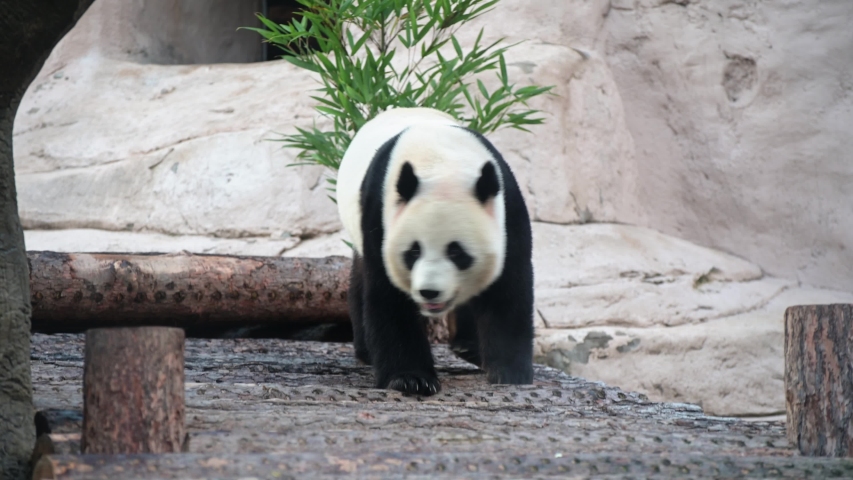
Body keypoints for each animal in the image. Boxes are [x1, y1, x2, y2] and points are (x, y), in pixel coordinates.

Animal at [336, 107, 534, 396]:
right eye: (413, 252)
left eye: (457, 253)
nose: (429, 292)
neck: (441, 164)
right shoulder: (381, 215)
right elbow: (388, 296)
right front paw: (410, 379)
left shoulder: (507, 210)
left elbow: (507, 288)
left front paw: (511, 372)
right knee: (362, 279)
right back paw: (366, 352)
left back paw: (469, 348)